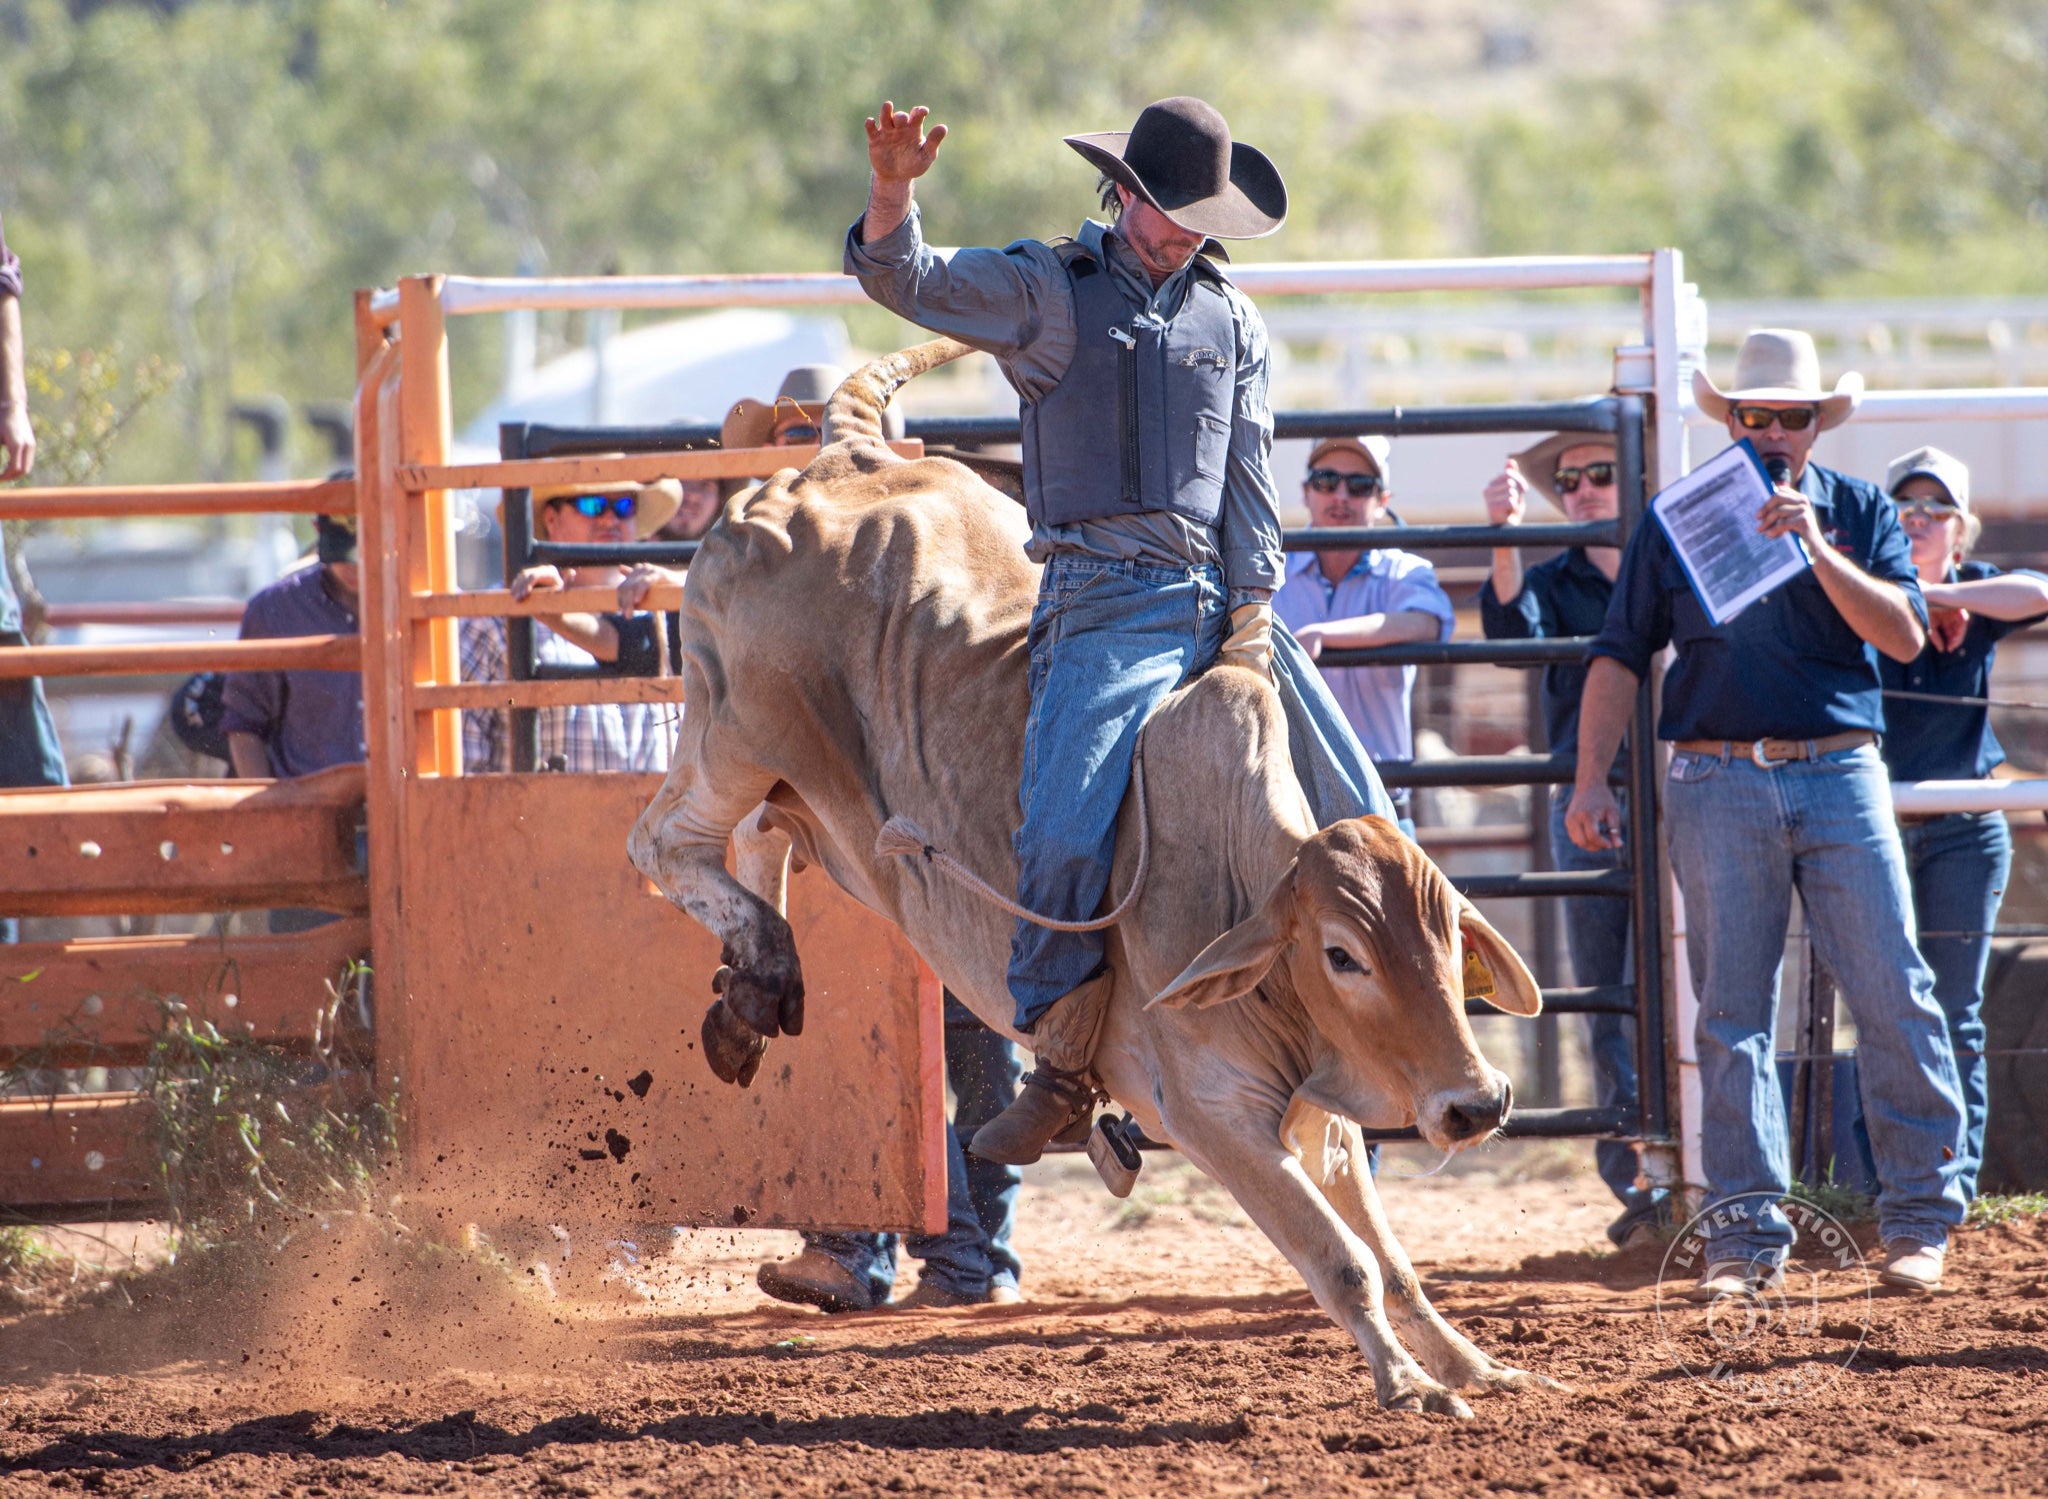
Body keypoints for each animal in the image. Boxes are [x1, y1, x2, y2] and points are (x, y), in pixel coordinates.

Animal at [629, 340, 1562, 1415]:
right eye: (1342, 955)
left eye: (1449, 939)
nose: (1475, 1103)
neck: (1235, 887)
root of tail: (848, 452)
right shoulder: (1214, 1116)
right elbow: (1344, 1260)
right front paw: (1410, 1384)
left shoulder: (1318, 1118)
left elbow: (1396, 1264)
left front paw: (1473, 1364)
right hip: (735, 723)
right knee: (663, 841)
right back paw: (763, 960)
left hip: (788, 783)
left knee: (754, 841)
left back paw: (751, 987)